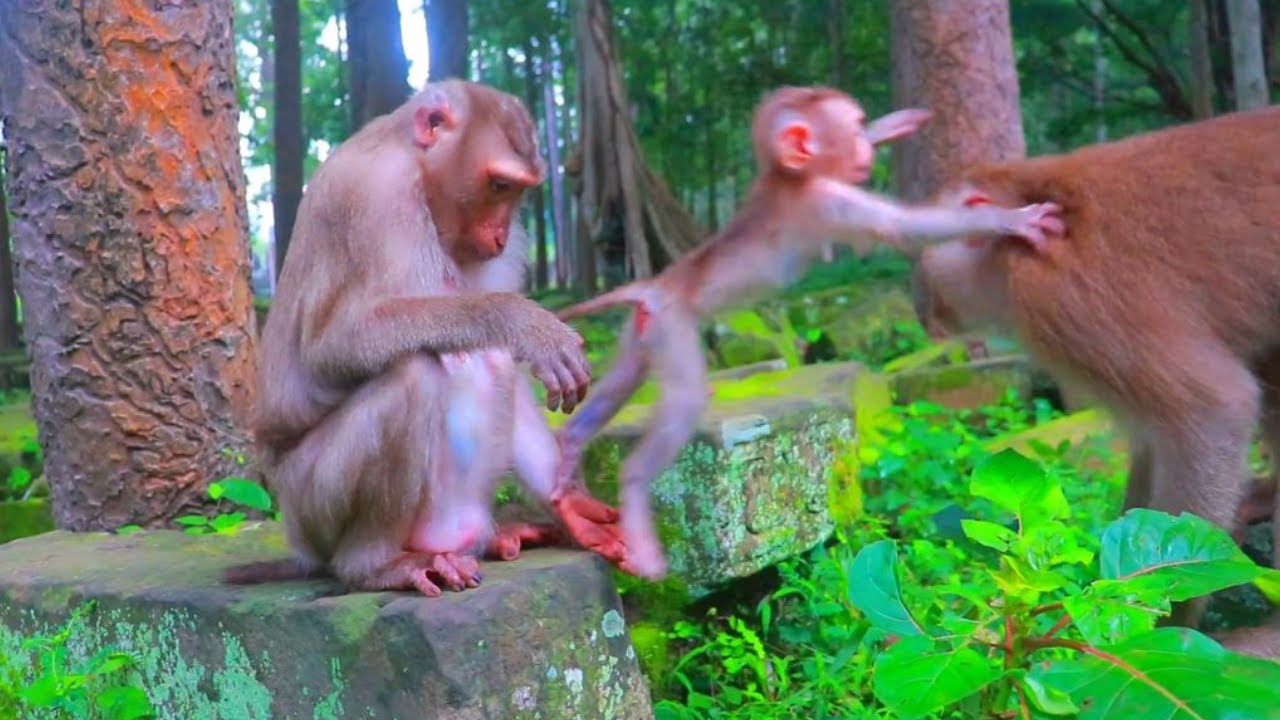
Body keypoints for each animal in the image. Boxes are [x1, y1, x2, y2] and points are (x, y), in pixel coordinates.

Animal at [226, 80, 632, 596]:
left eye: (519, 191)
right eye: (499, 185)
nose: (502, 235)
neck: (414, 165)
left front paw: (570, 503)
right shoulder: (375, 194)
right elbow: (333, 344)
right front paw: (523, 320)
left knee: (484, 361)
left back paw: (487, 538)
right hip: (309, 504)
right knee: (413, 374)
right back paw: (375, 564)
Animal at [552, 86, 1065, 579]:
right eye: (851, 129)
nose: (864, 145)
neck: (788, 178)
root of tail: (655, 288)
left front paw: (896, 124)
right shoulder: (827, 199)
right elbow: (903, 229)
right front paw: (1011, 219)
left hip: (643, 333)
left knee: (622, 382)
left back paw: (570, 447)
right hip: (673, 327)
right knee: (682, 403)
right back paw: (634, 490)